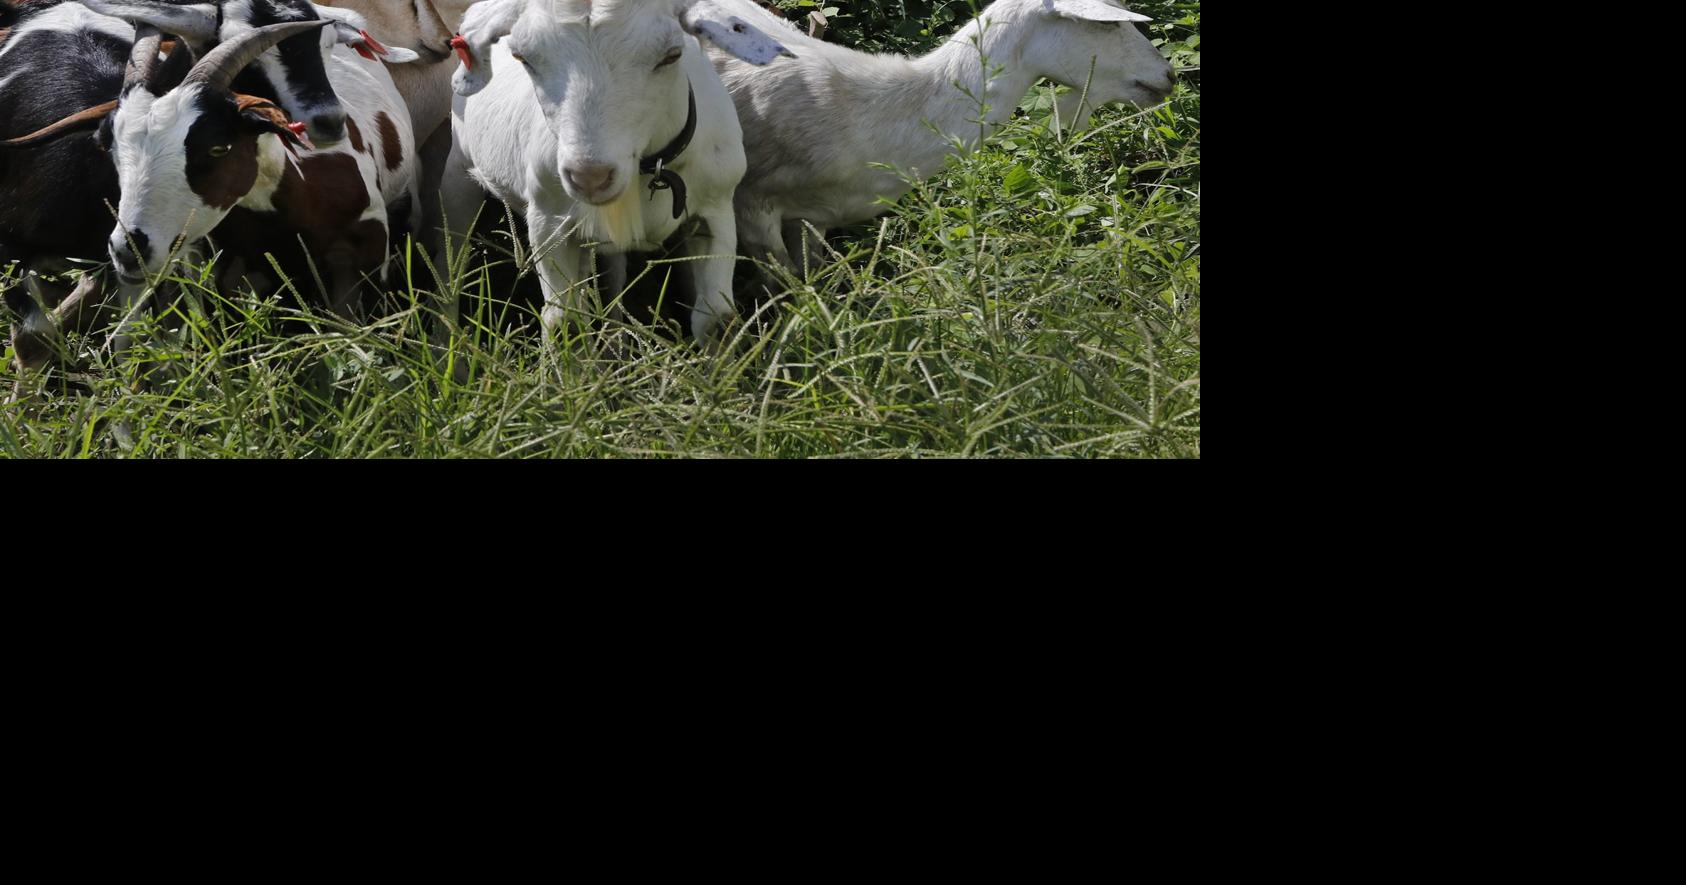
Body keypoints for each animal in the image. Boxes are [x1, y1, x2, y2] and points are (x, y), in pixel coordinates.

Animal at [439, 0, 794, 345]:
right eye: (522, 57)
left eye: (671, 55)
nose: (590, 176)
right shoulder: (547, 223)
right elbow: (565, 326)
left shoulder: (716, 209)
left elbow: (716, 322)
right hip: (458, 171)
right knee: (452, 262)